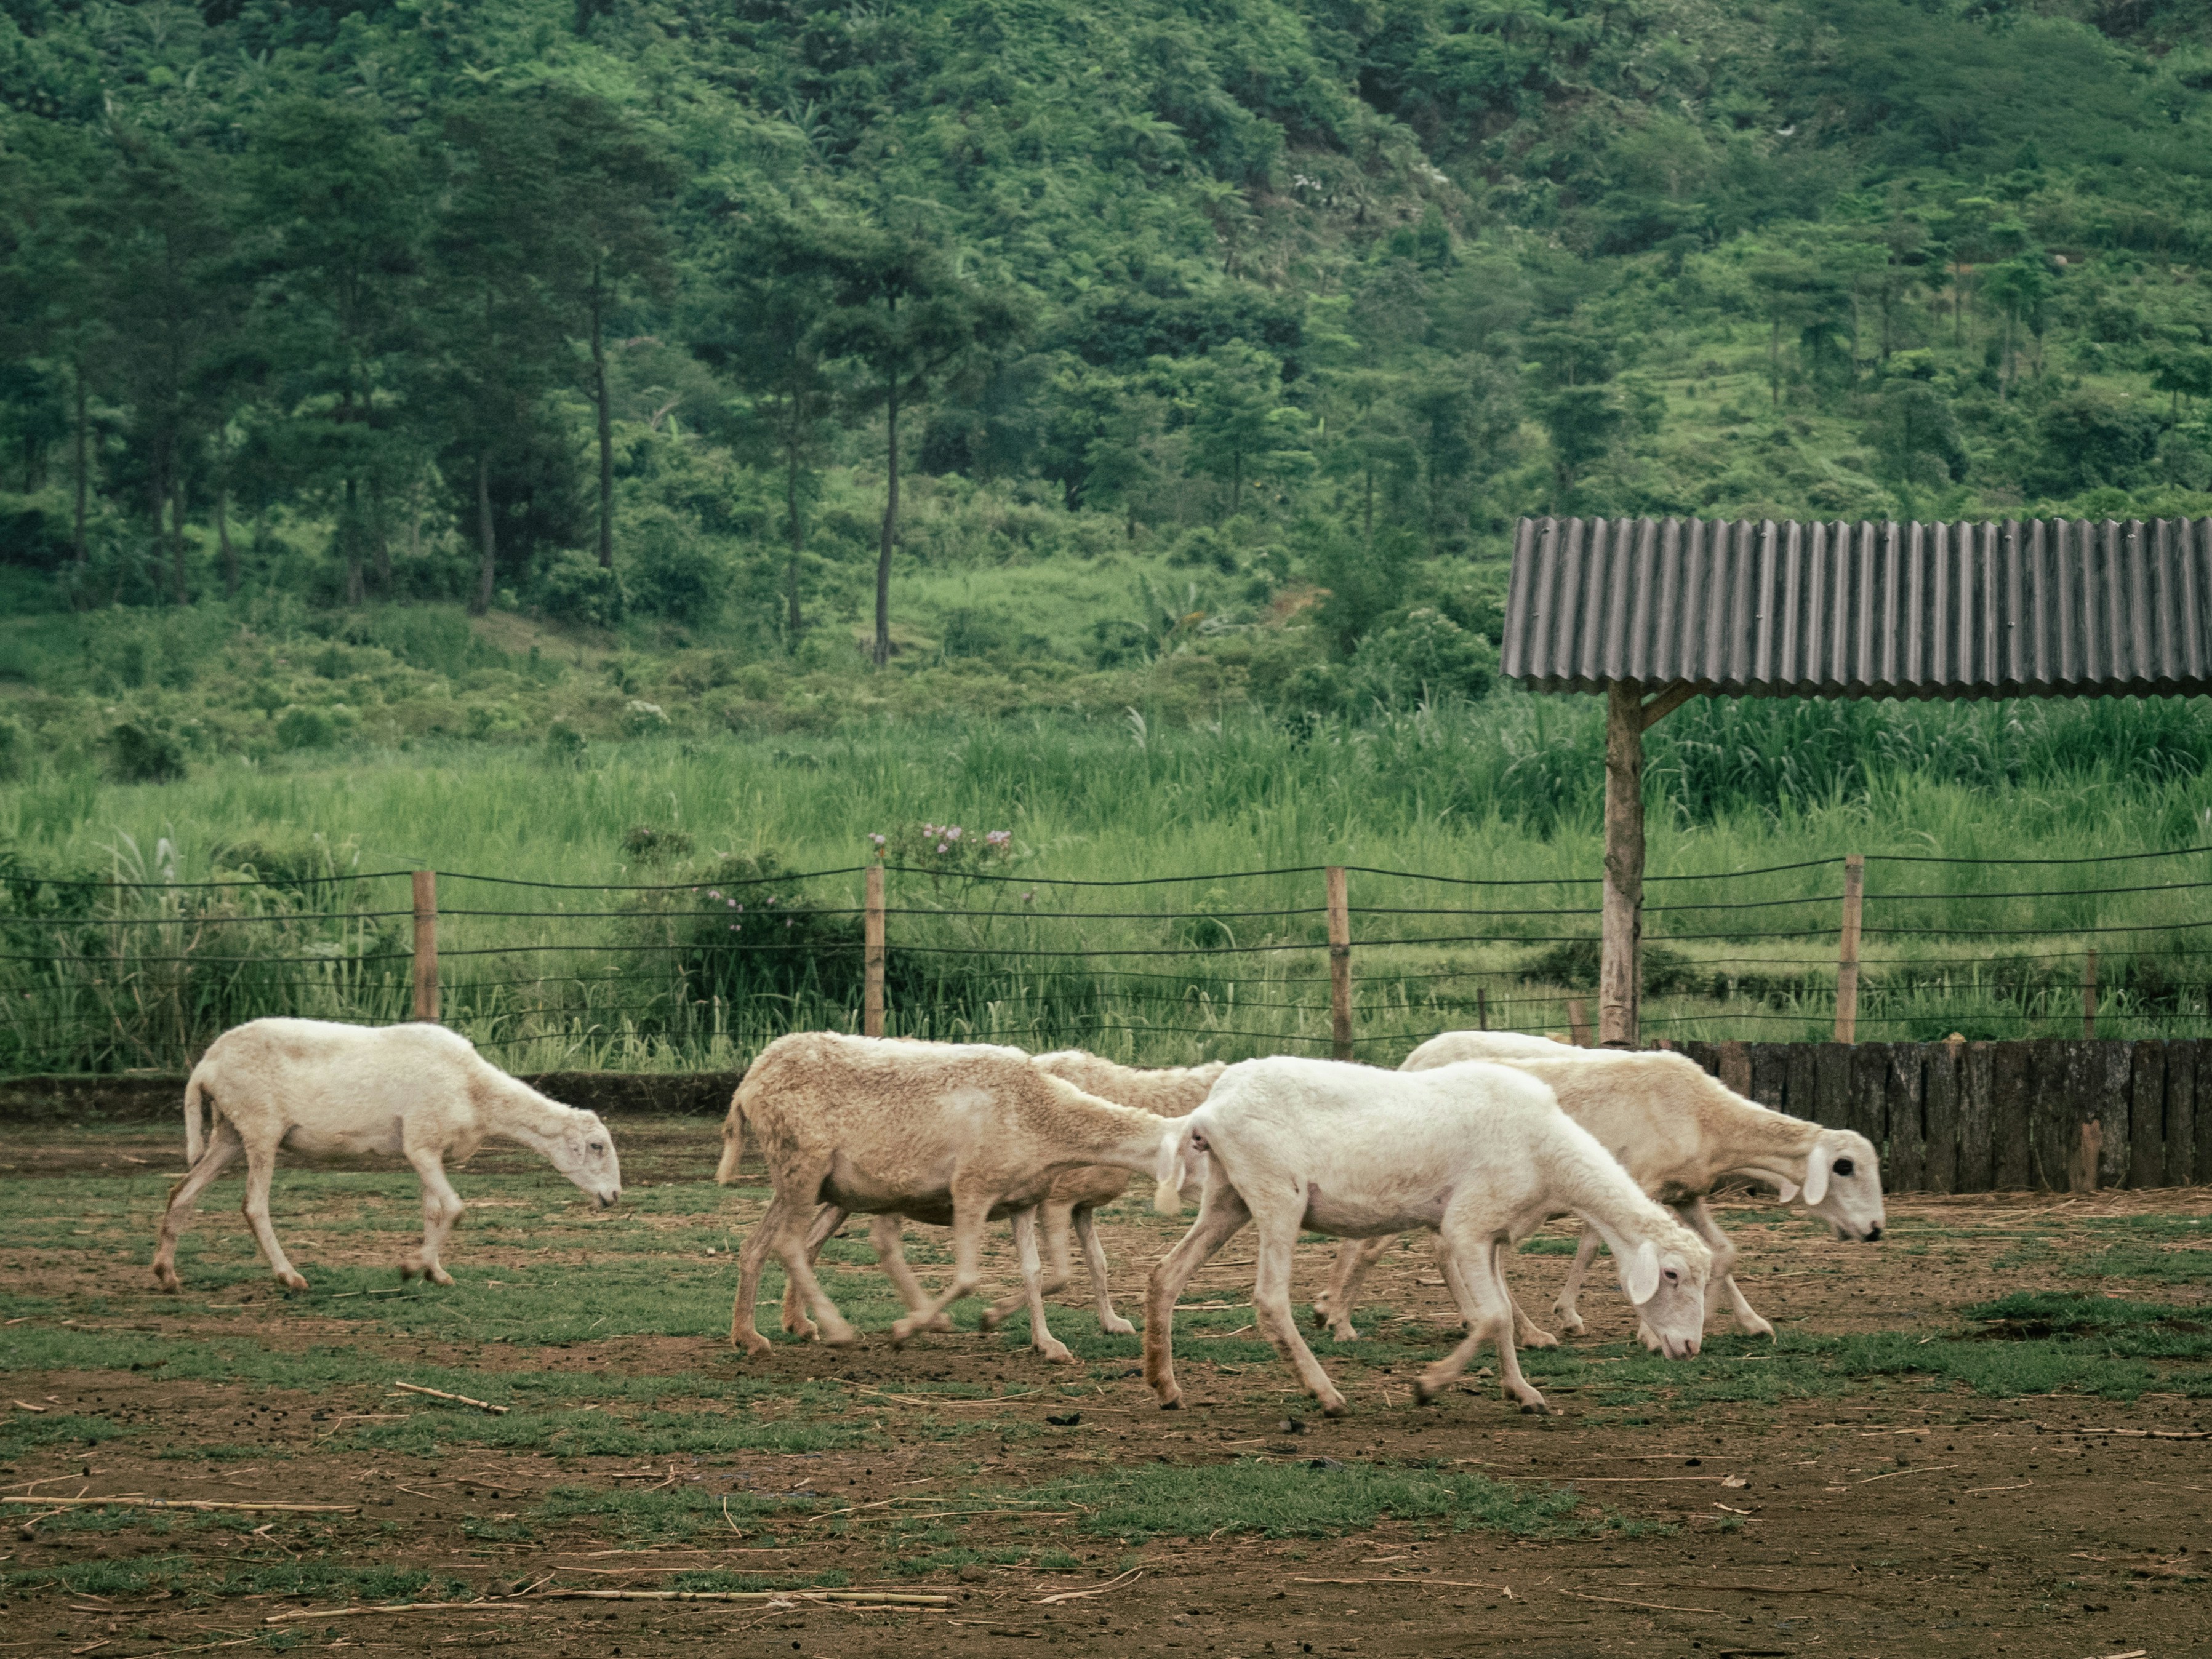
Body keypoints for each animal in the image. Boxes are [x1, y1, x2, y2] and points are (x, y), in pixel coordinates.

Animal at [152, 1018, 622, 1293]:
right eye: (597, 1146)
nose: (615, 1196)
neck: (476, 1092)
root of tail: (205, 1066)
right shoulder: (421, 1144)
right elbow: (456, 1209)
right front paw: (412, 1267)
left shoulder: (428, 1149)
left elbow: (435, 1212)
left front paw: (434, 1272)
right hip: (260, 1127)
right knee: (253, 1206)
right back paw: (290, 1276)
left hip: (230, 1131)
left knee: (182, 1193)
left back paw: (166, 1274)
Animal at [722, 1033, 1186, 1363]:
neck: (1046, 1116)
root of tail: (752, 1077)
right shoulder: (972, 1189)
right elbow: (967, 1278)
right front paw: (912, 1329)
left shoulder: (1022, 1201)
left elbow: (1034, 1272)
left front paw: (1046, 1343)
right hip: (805, 1164)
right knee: (791, 1246)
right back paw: (837, 1329)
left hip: (807, 1179)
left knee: (757, 1246)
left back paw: (749, 1336)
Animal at [1143, 1057, 1713, 1417]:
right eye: (1671, 1274)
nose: (1690, 1347)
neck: (1550, 1157)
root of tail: (1211, 1106)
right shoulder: (1466, 1225)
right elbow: (1493, 1316)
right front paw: (1427, 1385)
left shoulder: (1491, 1233)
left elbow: (1503, 1318)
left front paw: (1522, 1392)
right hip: (1276, 1195)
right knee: (1269, 1299)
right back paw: (1326, 1395)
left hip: (1227, 1196)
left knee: (1166, 1273)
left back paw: (1165, 1385)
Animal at [1315, 1032, 1885, 1344]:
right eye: (1845, 1167)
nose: (1877, 1230)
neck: (1709, 1117)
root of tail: (1411, 1063)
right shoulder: (1643, 1183)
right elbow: (1609, 1252)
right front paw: (1642, 1329)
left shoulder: (1685, 1192)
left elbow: (1722, 1252)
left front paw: (1747, 1322)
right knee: (1381, 1246)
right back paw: (1340, 1318)